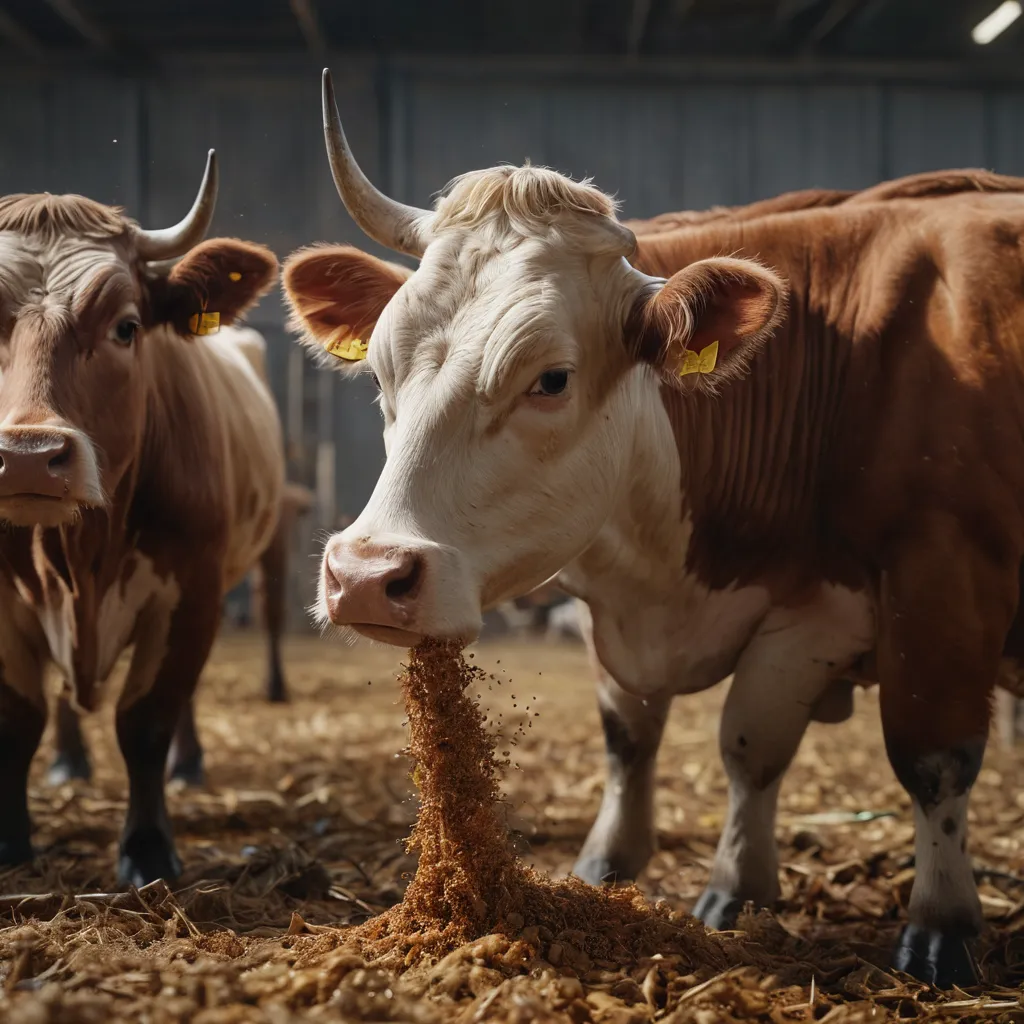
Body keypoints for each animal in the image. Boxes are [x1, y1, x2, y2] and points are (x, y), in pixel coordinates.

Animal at [0, 153, 283, 886]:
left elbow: (147, 718)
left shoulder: (191, 593)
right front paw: (12, 845)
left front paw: (149, 848)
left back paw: (189, 766)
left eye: (126, 326)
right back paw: (70, 761)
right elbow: (19, 716)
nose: (28, 458)